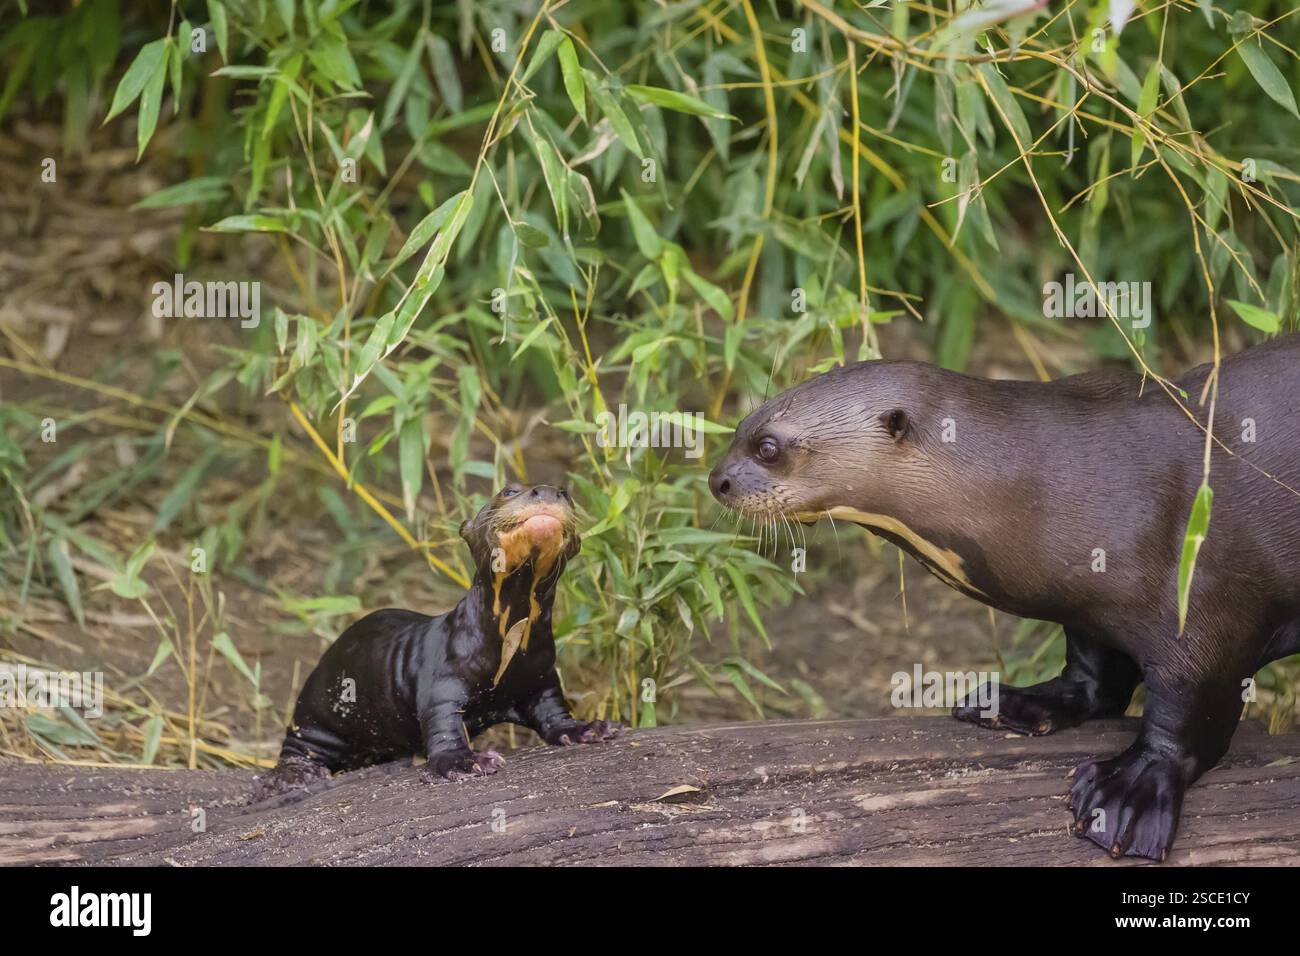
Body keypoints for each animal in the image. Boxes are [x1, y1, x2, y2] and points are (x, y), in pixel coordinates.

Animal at [255, 483, 618, 798]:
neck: (506, 648)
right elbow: (442, 723)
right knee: (297, 744)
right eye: (509, 490)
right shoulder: (442, 678)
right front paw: (465, 762)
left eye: (567, 495)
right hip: (316, 708)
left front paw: (586, 729)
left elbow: (554, 711)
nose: (547, 491)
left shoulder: (542, 675)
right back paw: (295, 775)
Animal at [709, 336, 1300, 861]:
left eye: (769, 448)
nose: (717, 480)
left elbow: (1190, 708)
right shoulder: (1087, 604)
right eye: (738, 429)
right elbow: (1095, 674)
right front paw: (1021, 702)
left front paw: (1128, 792)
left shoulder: (1206, 597)